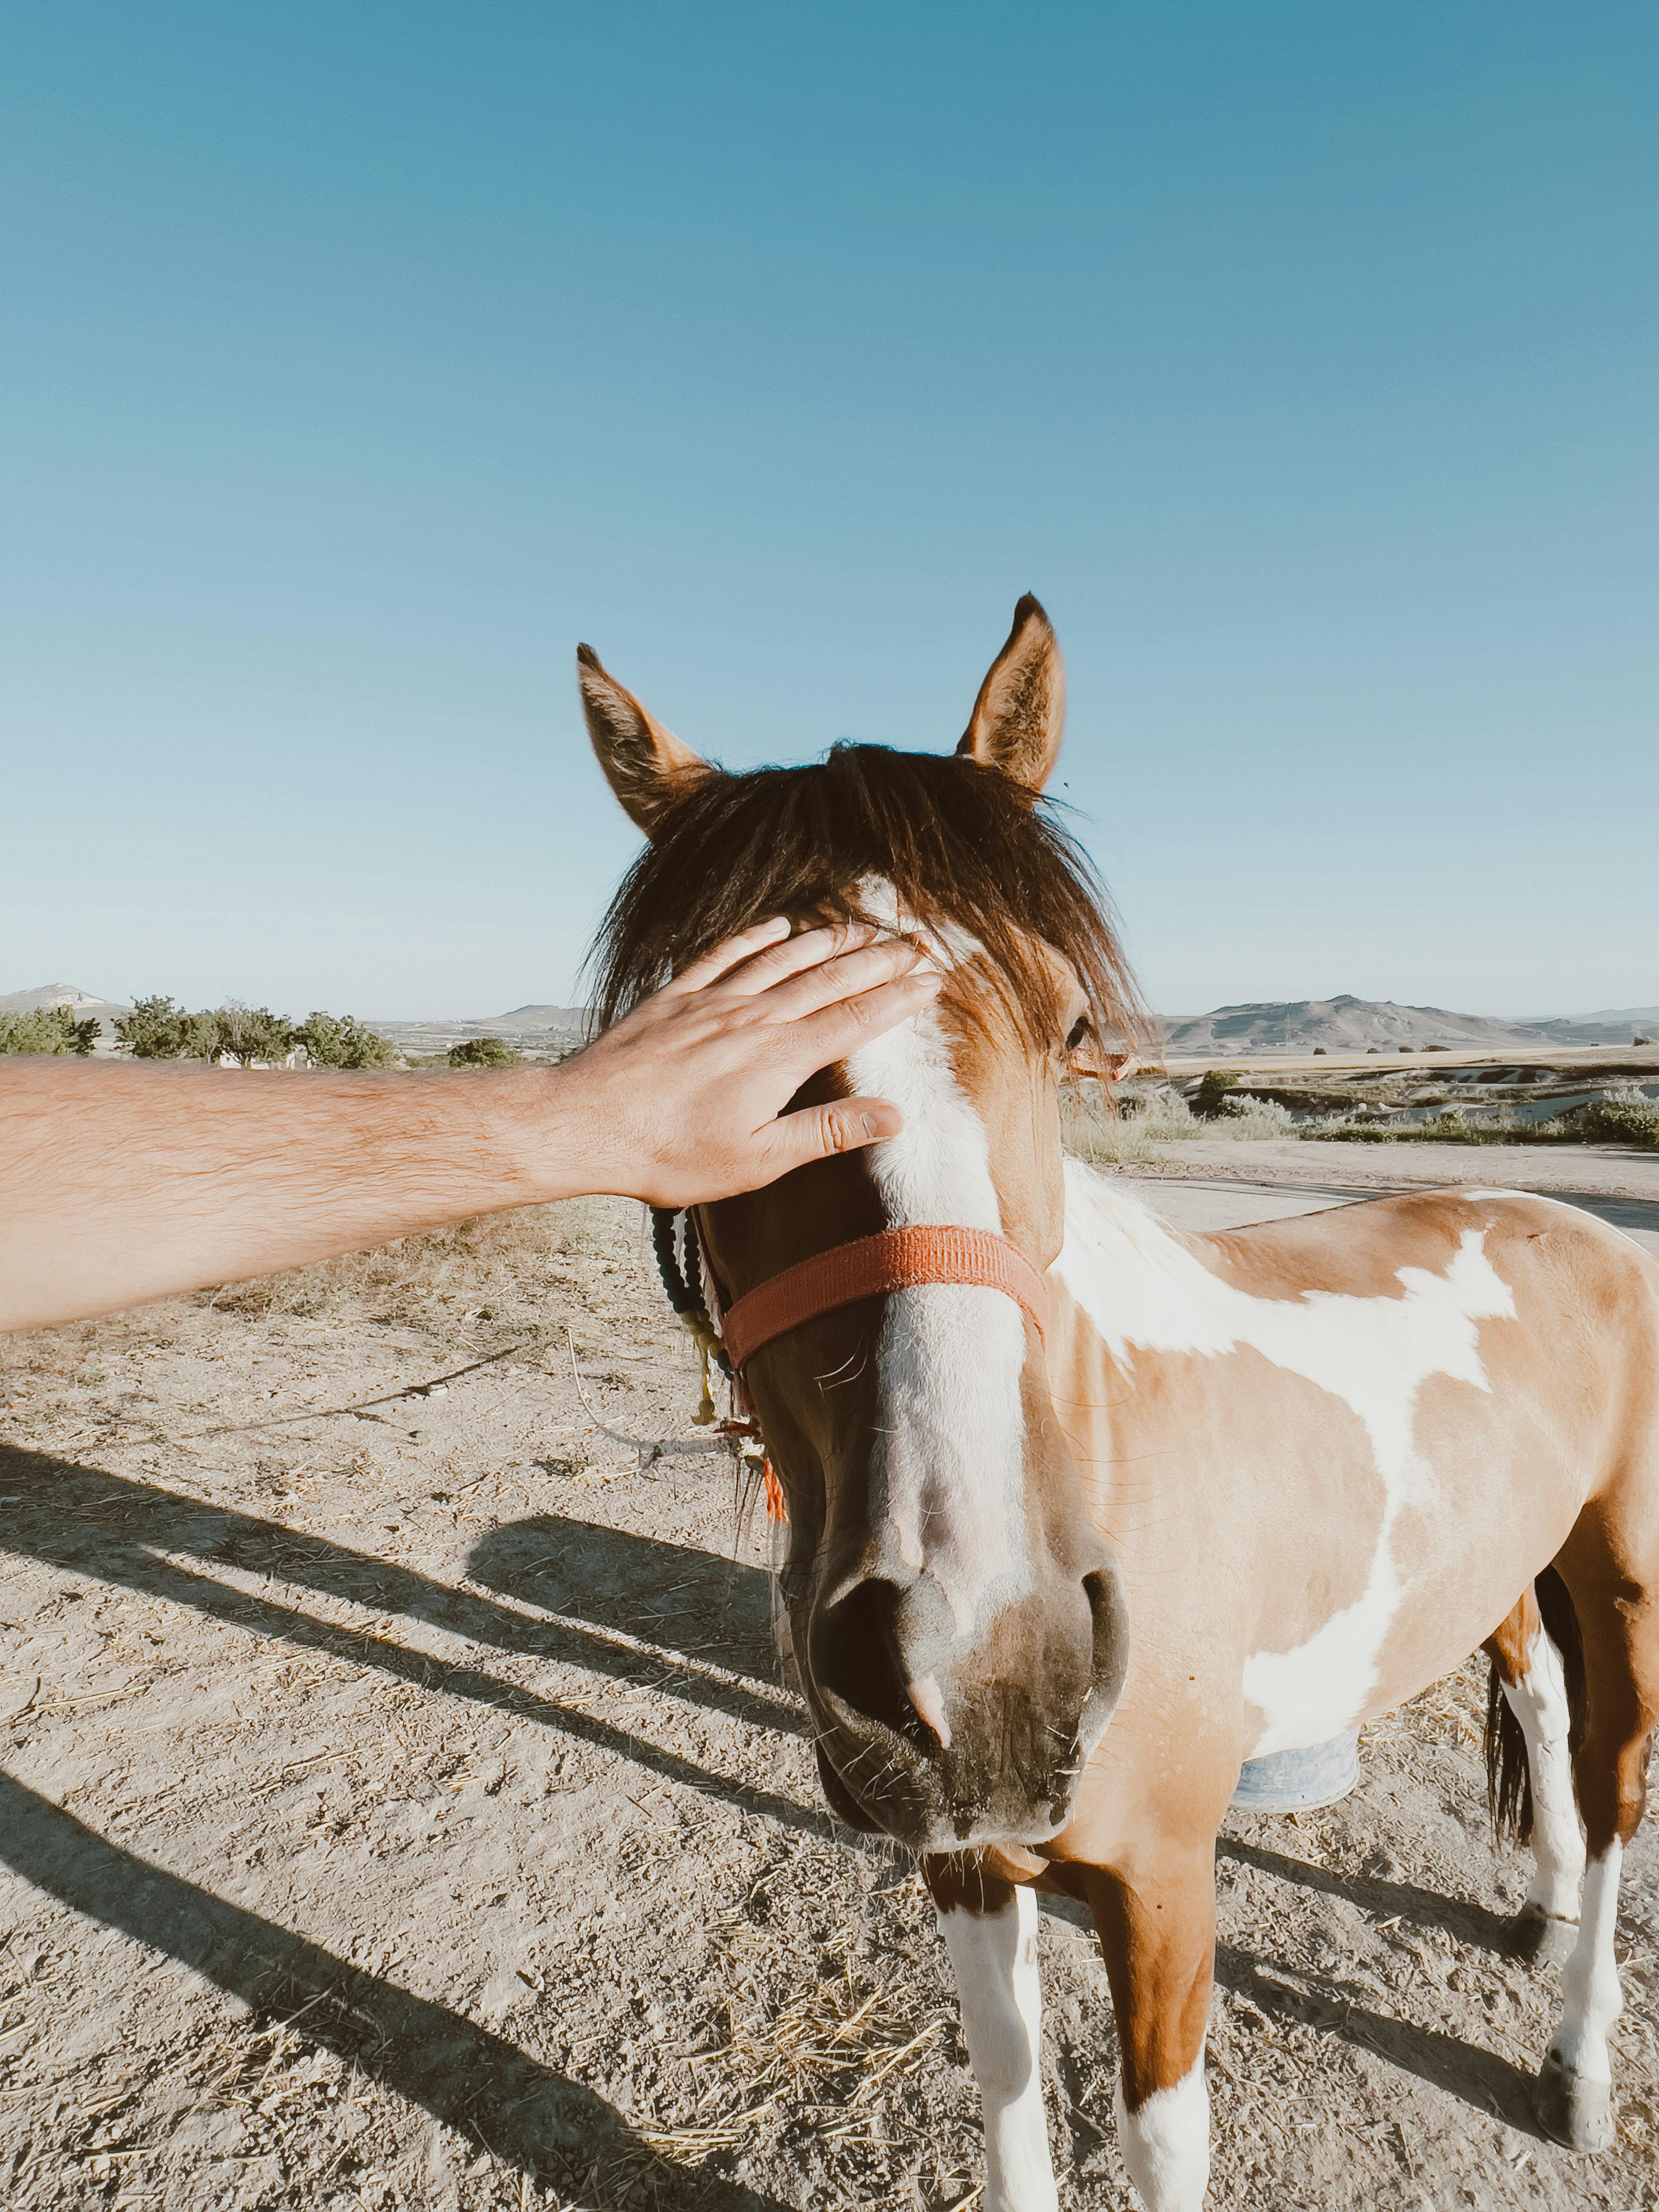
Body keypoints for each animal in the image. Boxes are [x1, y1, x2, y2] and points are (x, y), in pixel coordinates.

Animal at [576, 597, 1659, 2211]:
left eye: (1068, 1022)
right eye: (714, 1058)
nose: (978, 1659)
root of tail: (1568, 1223)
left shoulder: (1160, 1888)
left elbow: (1160, 2144)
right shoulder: (969, 1857)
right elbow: (1012, 2106)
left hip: (1624, 1574)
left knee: (1615, 1790)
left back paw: (1579, 2066)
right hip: (1504, 1570)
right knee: (1542, 1725)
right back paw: (1539, 1918)